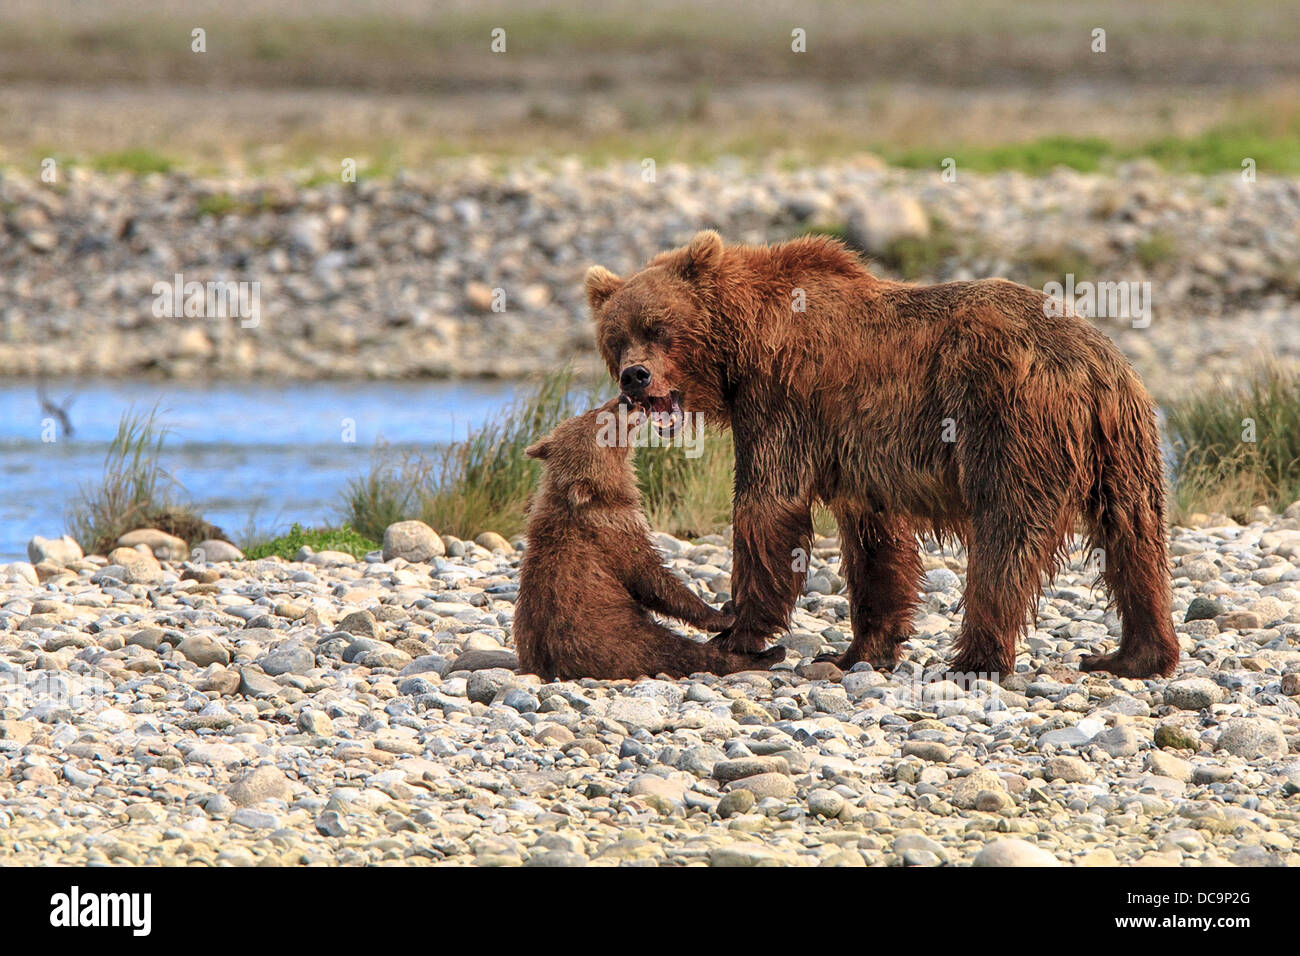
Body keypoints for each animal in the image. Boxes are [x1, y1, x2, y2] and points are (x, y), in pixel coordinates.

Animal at [513, 396, 786, 681]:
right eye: (605, 430)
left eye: (592, 410)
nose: (624, 400)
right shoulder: (614, 539)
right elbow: (654, 580)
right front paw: (723, 613)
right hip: (615, 638)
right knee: (677, 651)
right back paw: (763, 655)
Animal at [584, 230, 1178, 680]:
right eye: (616, 336)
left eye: (659, 327)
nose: (634, 376)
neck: (743, 347)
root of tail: (1089, 361)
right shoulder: (859, 451)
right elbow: (874, 543)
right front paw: (859, 648)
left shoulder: (784, 401)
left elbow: (767, 506)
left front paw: (736, 630)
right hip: (1125, 441)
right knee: (1136, 536)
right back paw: (1133, 655)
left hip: (1007, 418)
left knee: (1006, 532)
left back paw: (974, 657)